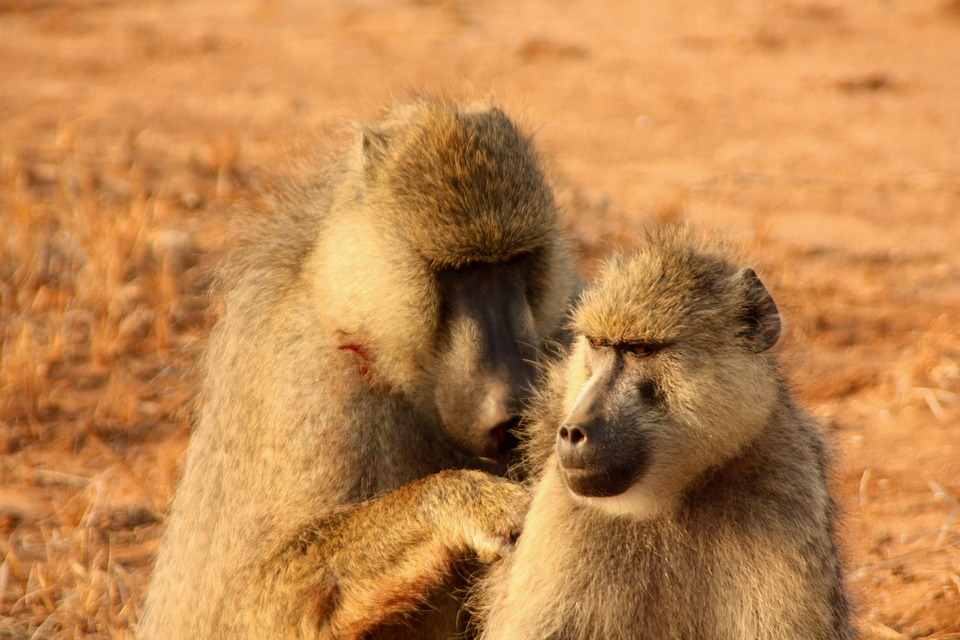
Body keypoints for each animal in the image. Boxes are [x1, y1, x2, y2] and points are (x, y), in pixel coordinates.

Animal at [137, 99, 580, 640]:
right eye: (458, 272)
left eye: (514, 264)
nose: (513, 404)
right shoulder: (309, 382)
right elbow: (251, 606)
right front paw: (463, 502)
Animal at [473, 228, 857, 640]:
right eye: (598, 344)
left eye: (641, 349)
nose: (573, 431)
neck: (669, 499)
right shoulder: (562, 508)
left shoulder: (784, 485)